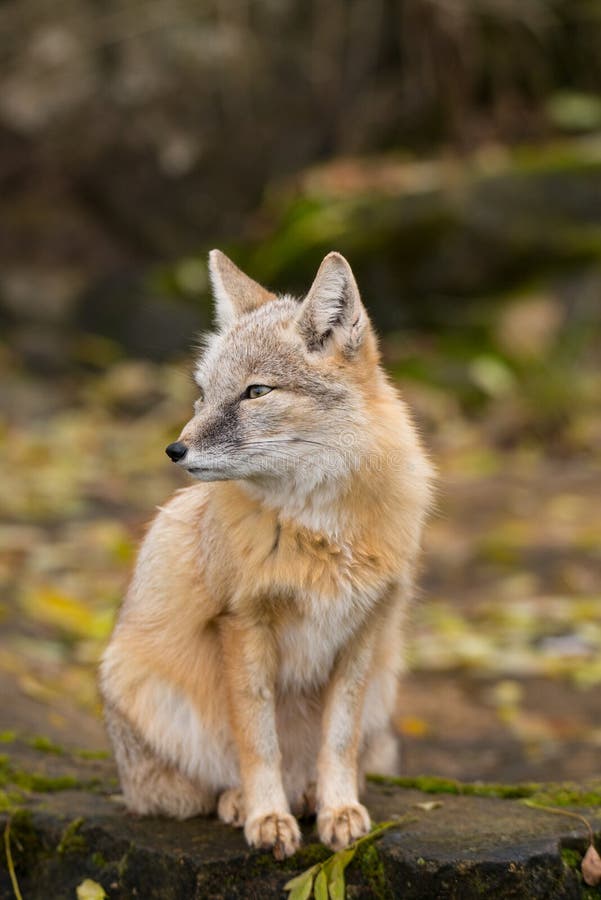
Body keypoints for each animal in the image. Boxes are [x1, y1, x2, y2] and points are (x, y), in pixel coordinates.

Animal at [100, 250, 433, 859]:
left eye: (256, 392)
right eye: (203, 393)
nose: (175, 449)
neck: (323, 535)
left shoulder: (363, 629)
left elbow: (339, 740)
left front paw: (338, 807)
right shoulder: (243, 624)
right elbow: (258, 741)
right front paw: (266, 815)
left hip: (384, 683)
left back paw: (309, 796)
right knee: (205, 784)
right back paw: (241, 801)